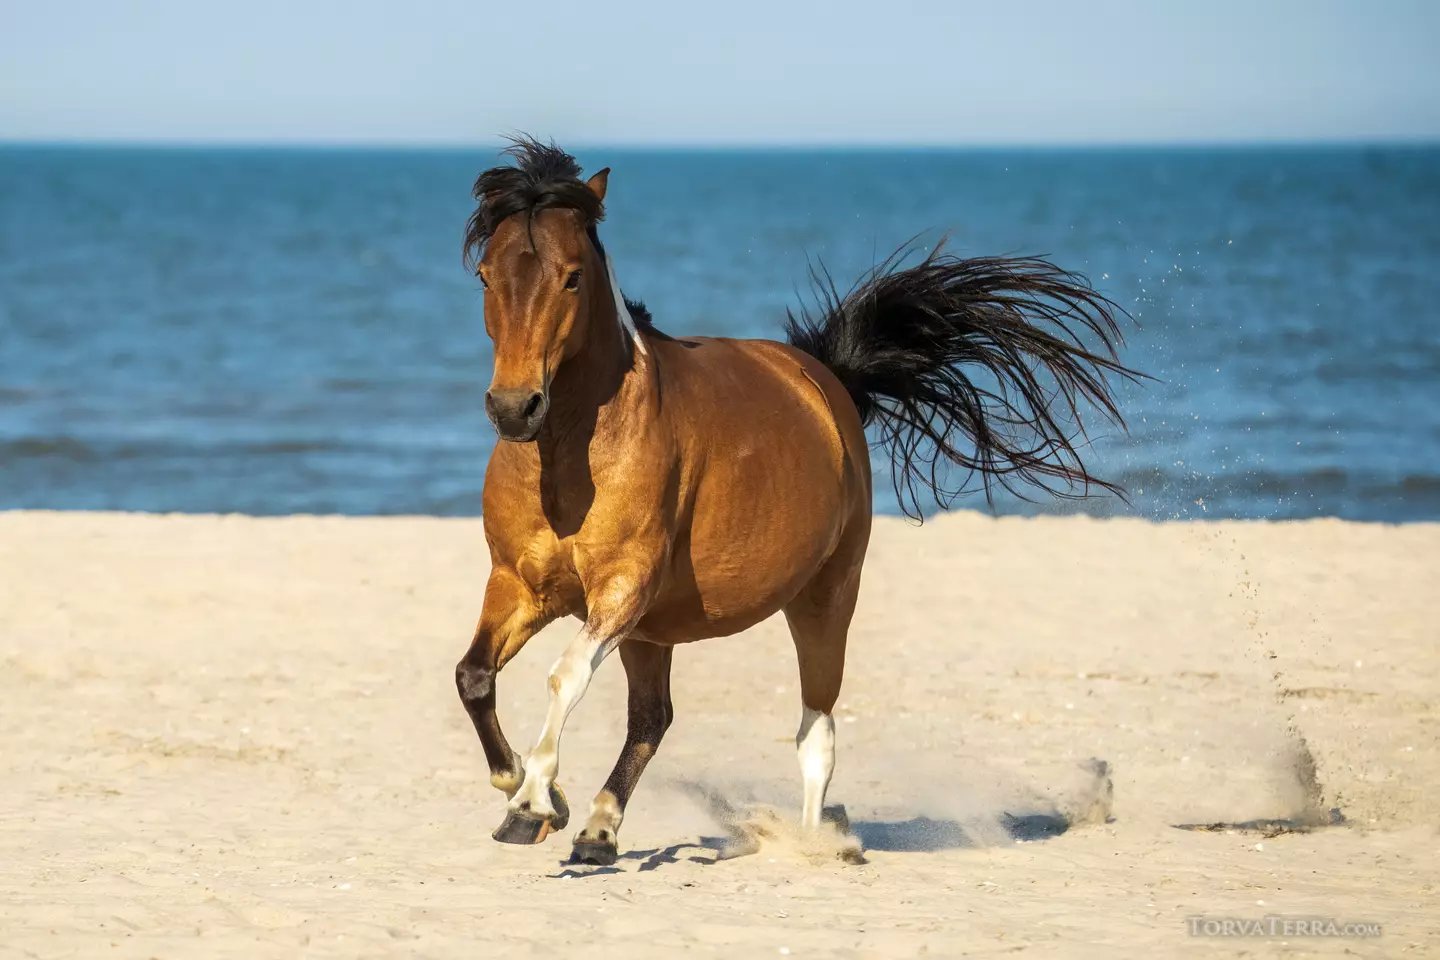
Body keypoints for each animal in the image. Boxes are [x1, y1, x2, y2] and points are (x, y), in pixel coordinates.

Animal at [455, 138, 1140, 869]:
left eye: (573, 278)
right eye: (486, 276)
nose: (514, 408)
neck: (574, 457)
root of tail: (827, 380)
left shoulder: (620, 590)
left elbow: (565, 677)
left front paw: (532, 803)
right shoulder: (521, 585)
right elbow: (474, 677)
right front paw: (529, 793)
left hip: (823, 597)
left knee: (816, 733)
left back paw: (814, 842)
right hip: (654, 630)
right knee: (651, 719)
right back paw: (598, 829)